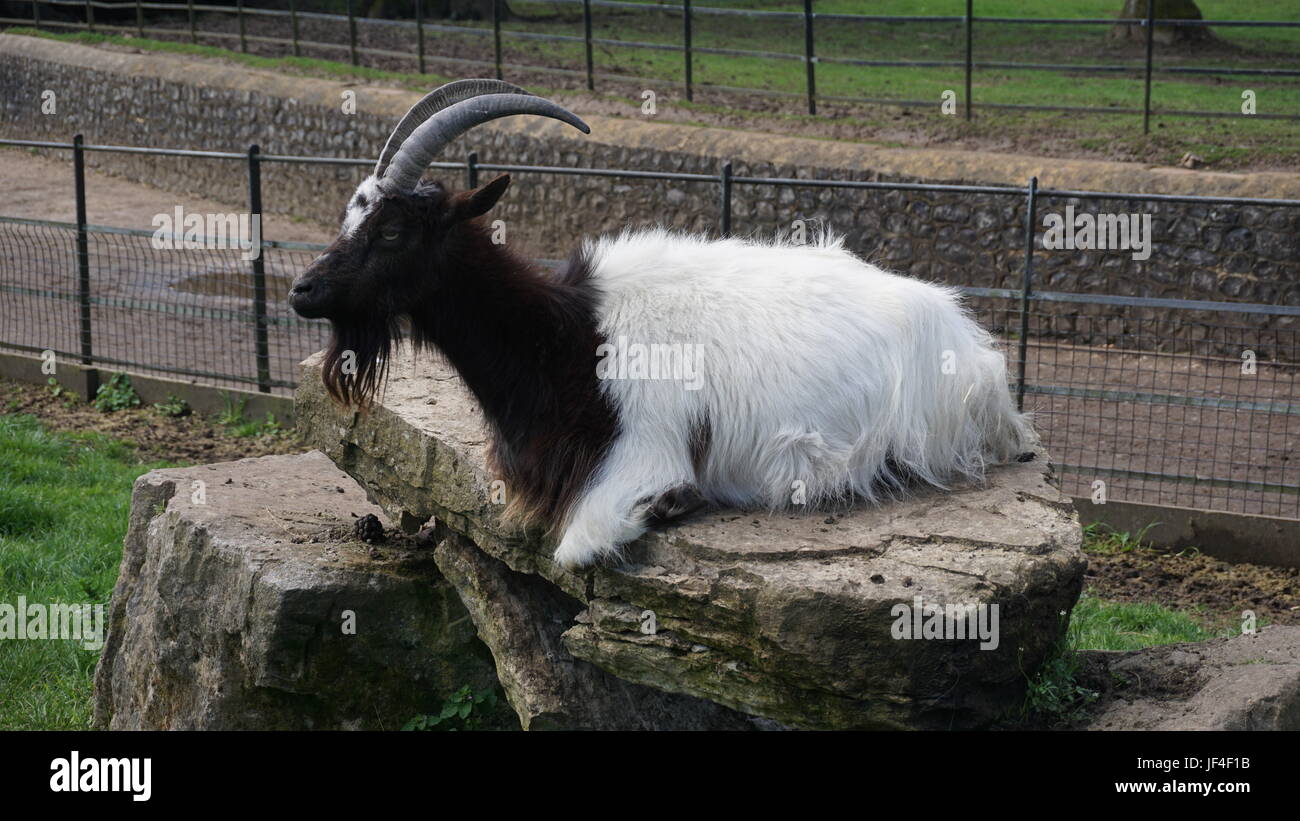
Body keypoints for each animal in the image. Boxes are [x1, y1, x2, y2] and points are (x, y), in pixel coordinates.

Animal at [289, 80, 1033, 570]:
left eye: (391, 230)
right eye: (351, 215)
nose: (302, 291)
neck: (568, 336)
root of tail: (974, 346)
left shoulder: (640, 454)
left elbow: (575, 550)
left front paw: (672, 503)